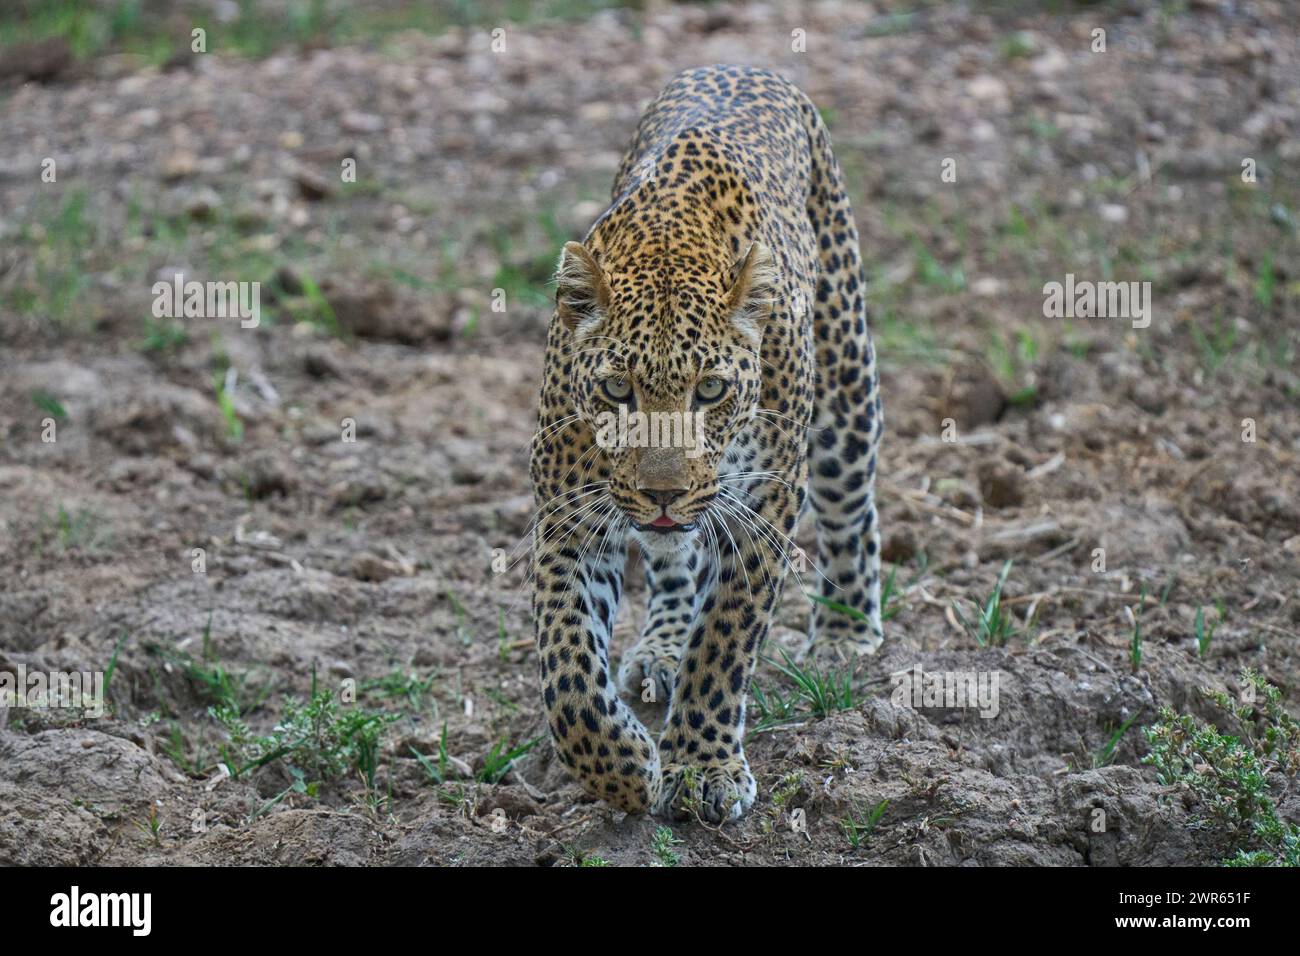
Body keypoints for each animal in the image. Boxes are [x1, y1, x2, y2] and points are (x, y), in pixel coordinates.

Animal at [528, 64, 884, 823]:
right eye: (617, 389)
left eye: (712, 390)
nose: (663, 494)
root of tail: (743, 62)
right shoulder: (569, 516)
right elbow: (567, 668)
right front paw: (623, 769)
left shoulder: (766, 503)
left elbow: (725, 637)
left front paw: (699, 766)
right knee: (672, 565)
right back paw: (662, 646)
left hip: (847, 377)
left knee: (851, 506)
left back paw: (844, 633)